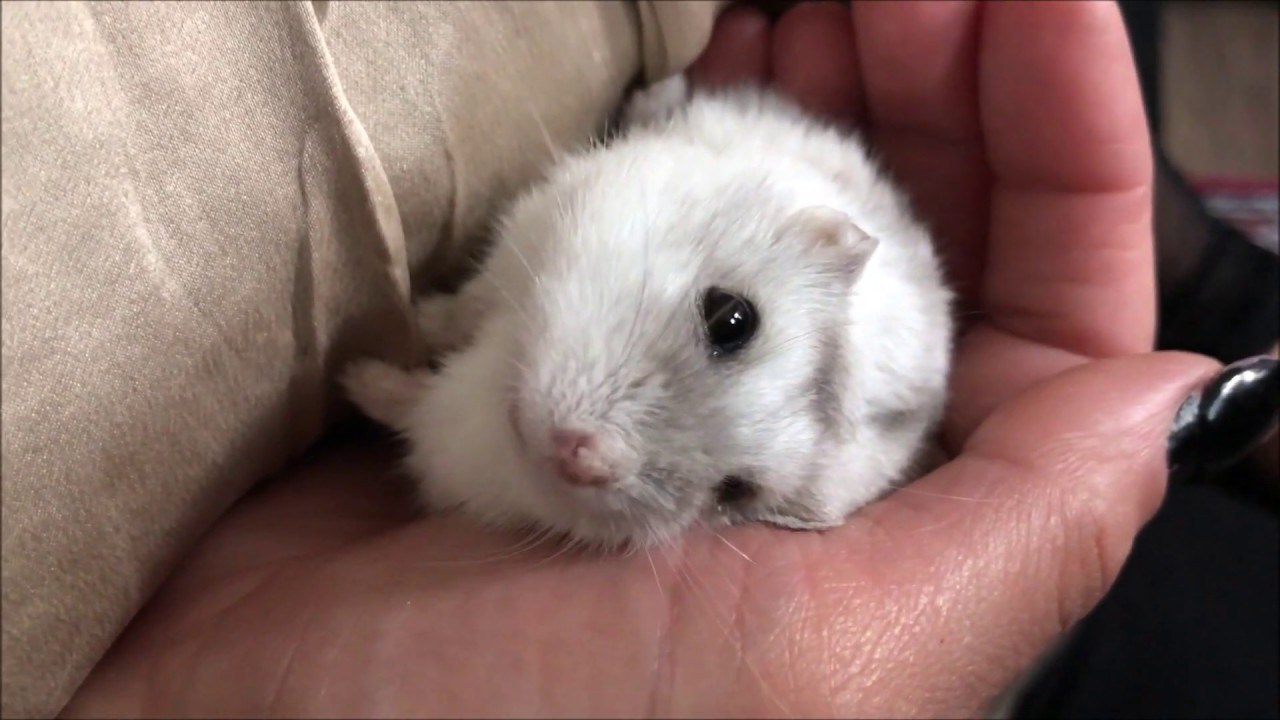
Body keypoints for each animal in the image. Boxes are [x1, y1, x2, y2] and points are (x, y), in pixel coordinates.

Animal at [342, 75, 955, 550]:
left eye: (736, 492)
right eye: (732, 318)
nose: (578, 456)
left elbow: (406, 401)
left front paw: (352, 376)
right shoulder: (516, 248)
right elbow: (462, 309)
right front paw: (402, 328)